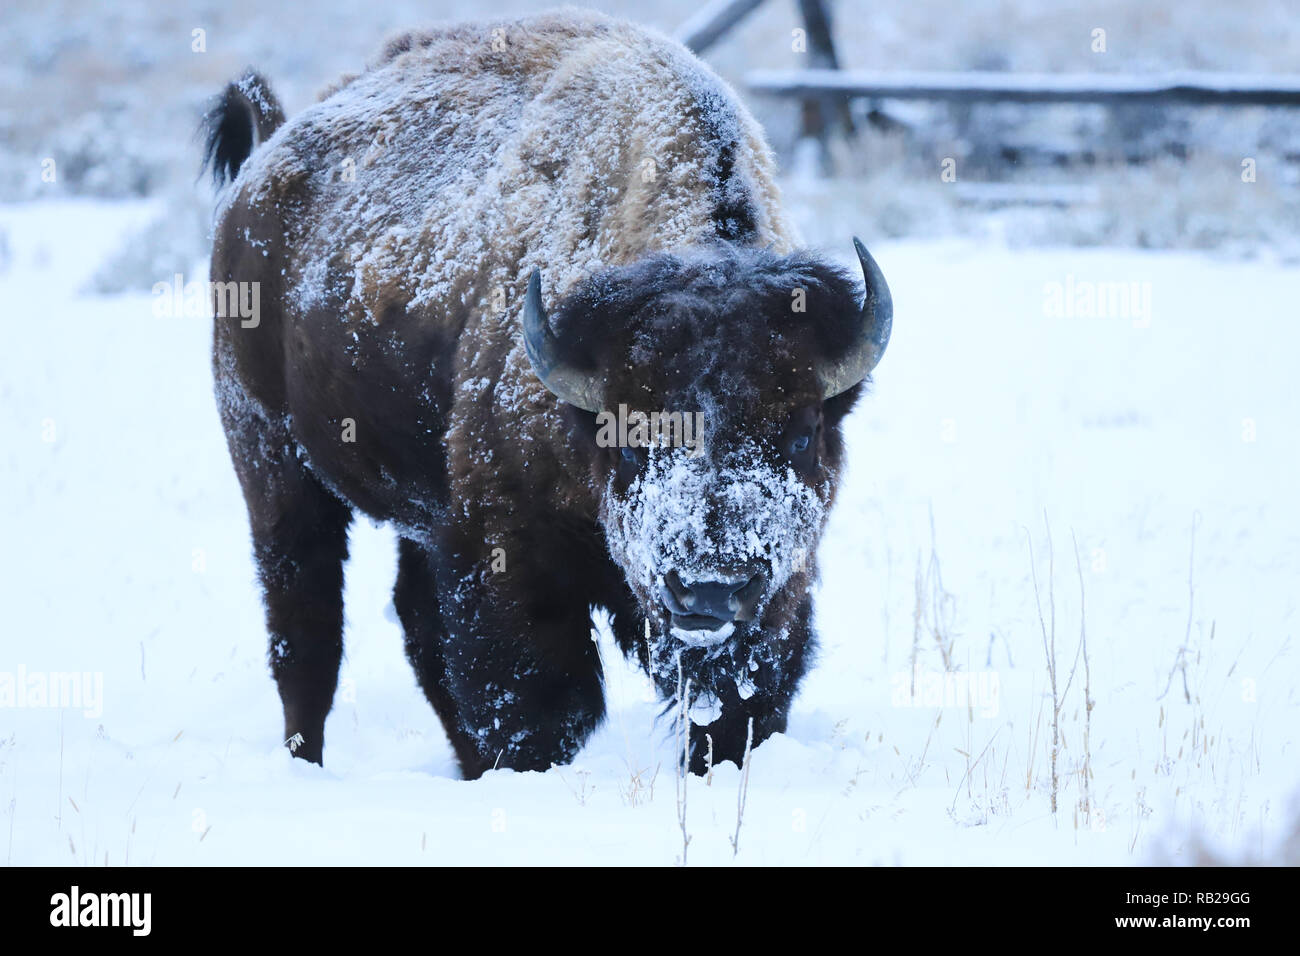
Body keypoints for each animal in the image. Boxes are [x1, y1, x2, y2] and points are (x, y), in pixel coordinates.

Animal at [203, 10, 891, 777]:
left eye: (800, 434)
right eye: (630, 440)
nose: (709, 585)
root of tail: (263, 166)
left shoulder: (781, 593)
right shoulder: (505, 555)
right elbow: (535, 701)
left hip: (414, 507)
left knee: (410, 622)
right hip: (271, 462)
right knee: (306, 630)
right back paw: (309, 762)